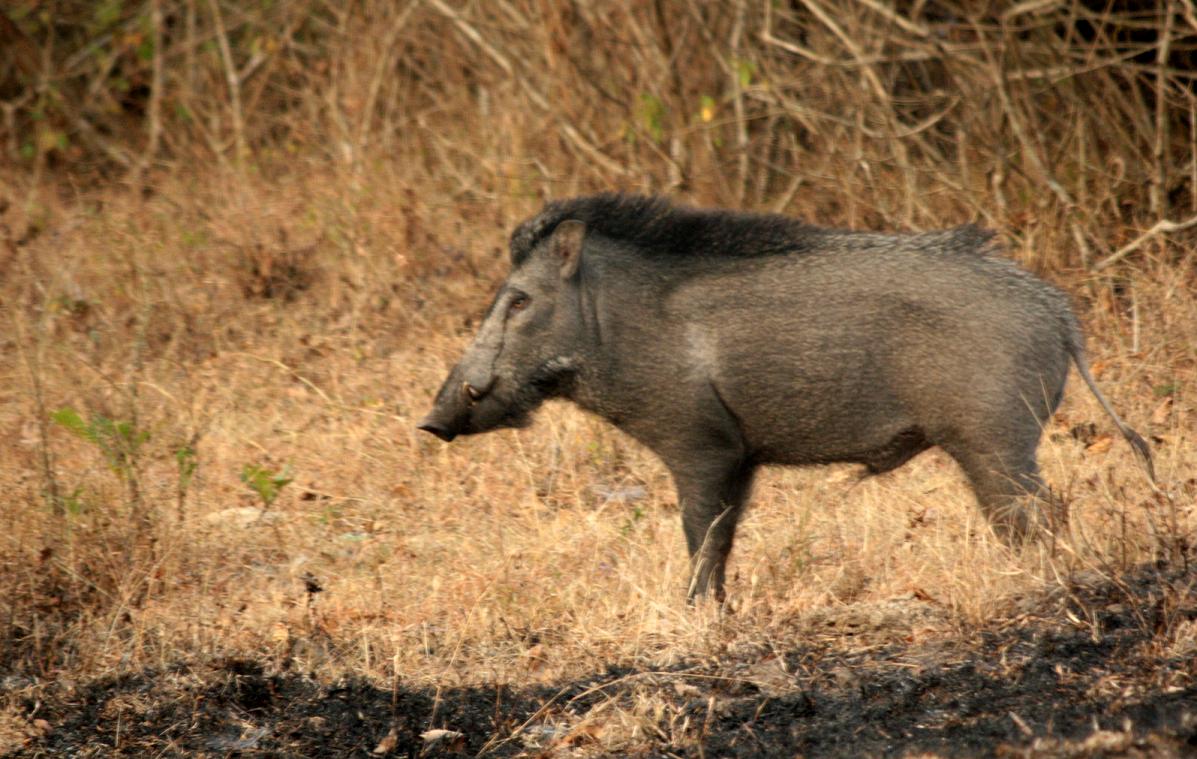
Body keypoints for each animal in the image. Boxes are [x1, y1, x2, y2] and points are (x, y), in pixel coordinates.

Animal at [418, 193, 1153, 601]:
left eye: (518, 299)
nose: (430, 421)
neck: (616, 329)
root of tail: (1058, 314)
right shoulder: (740, 458)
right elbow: (722, 541)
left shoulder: (698, 444)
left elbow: (702, 537)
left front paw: (696, 619)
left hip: (995, 438)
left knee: (1035, 517)